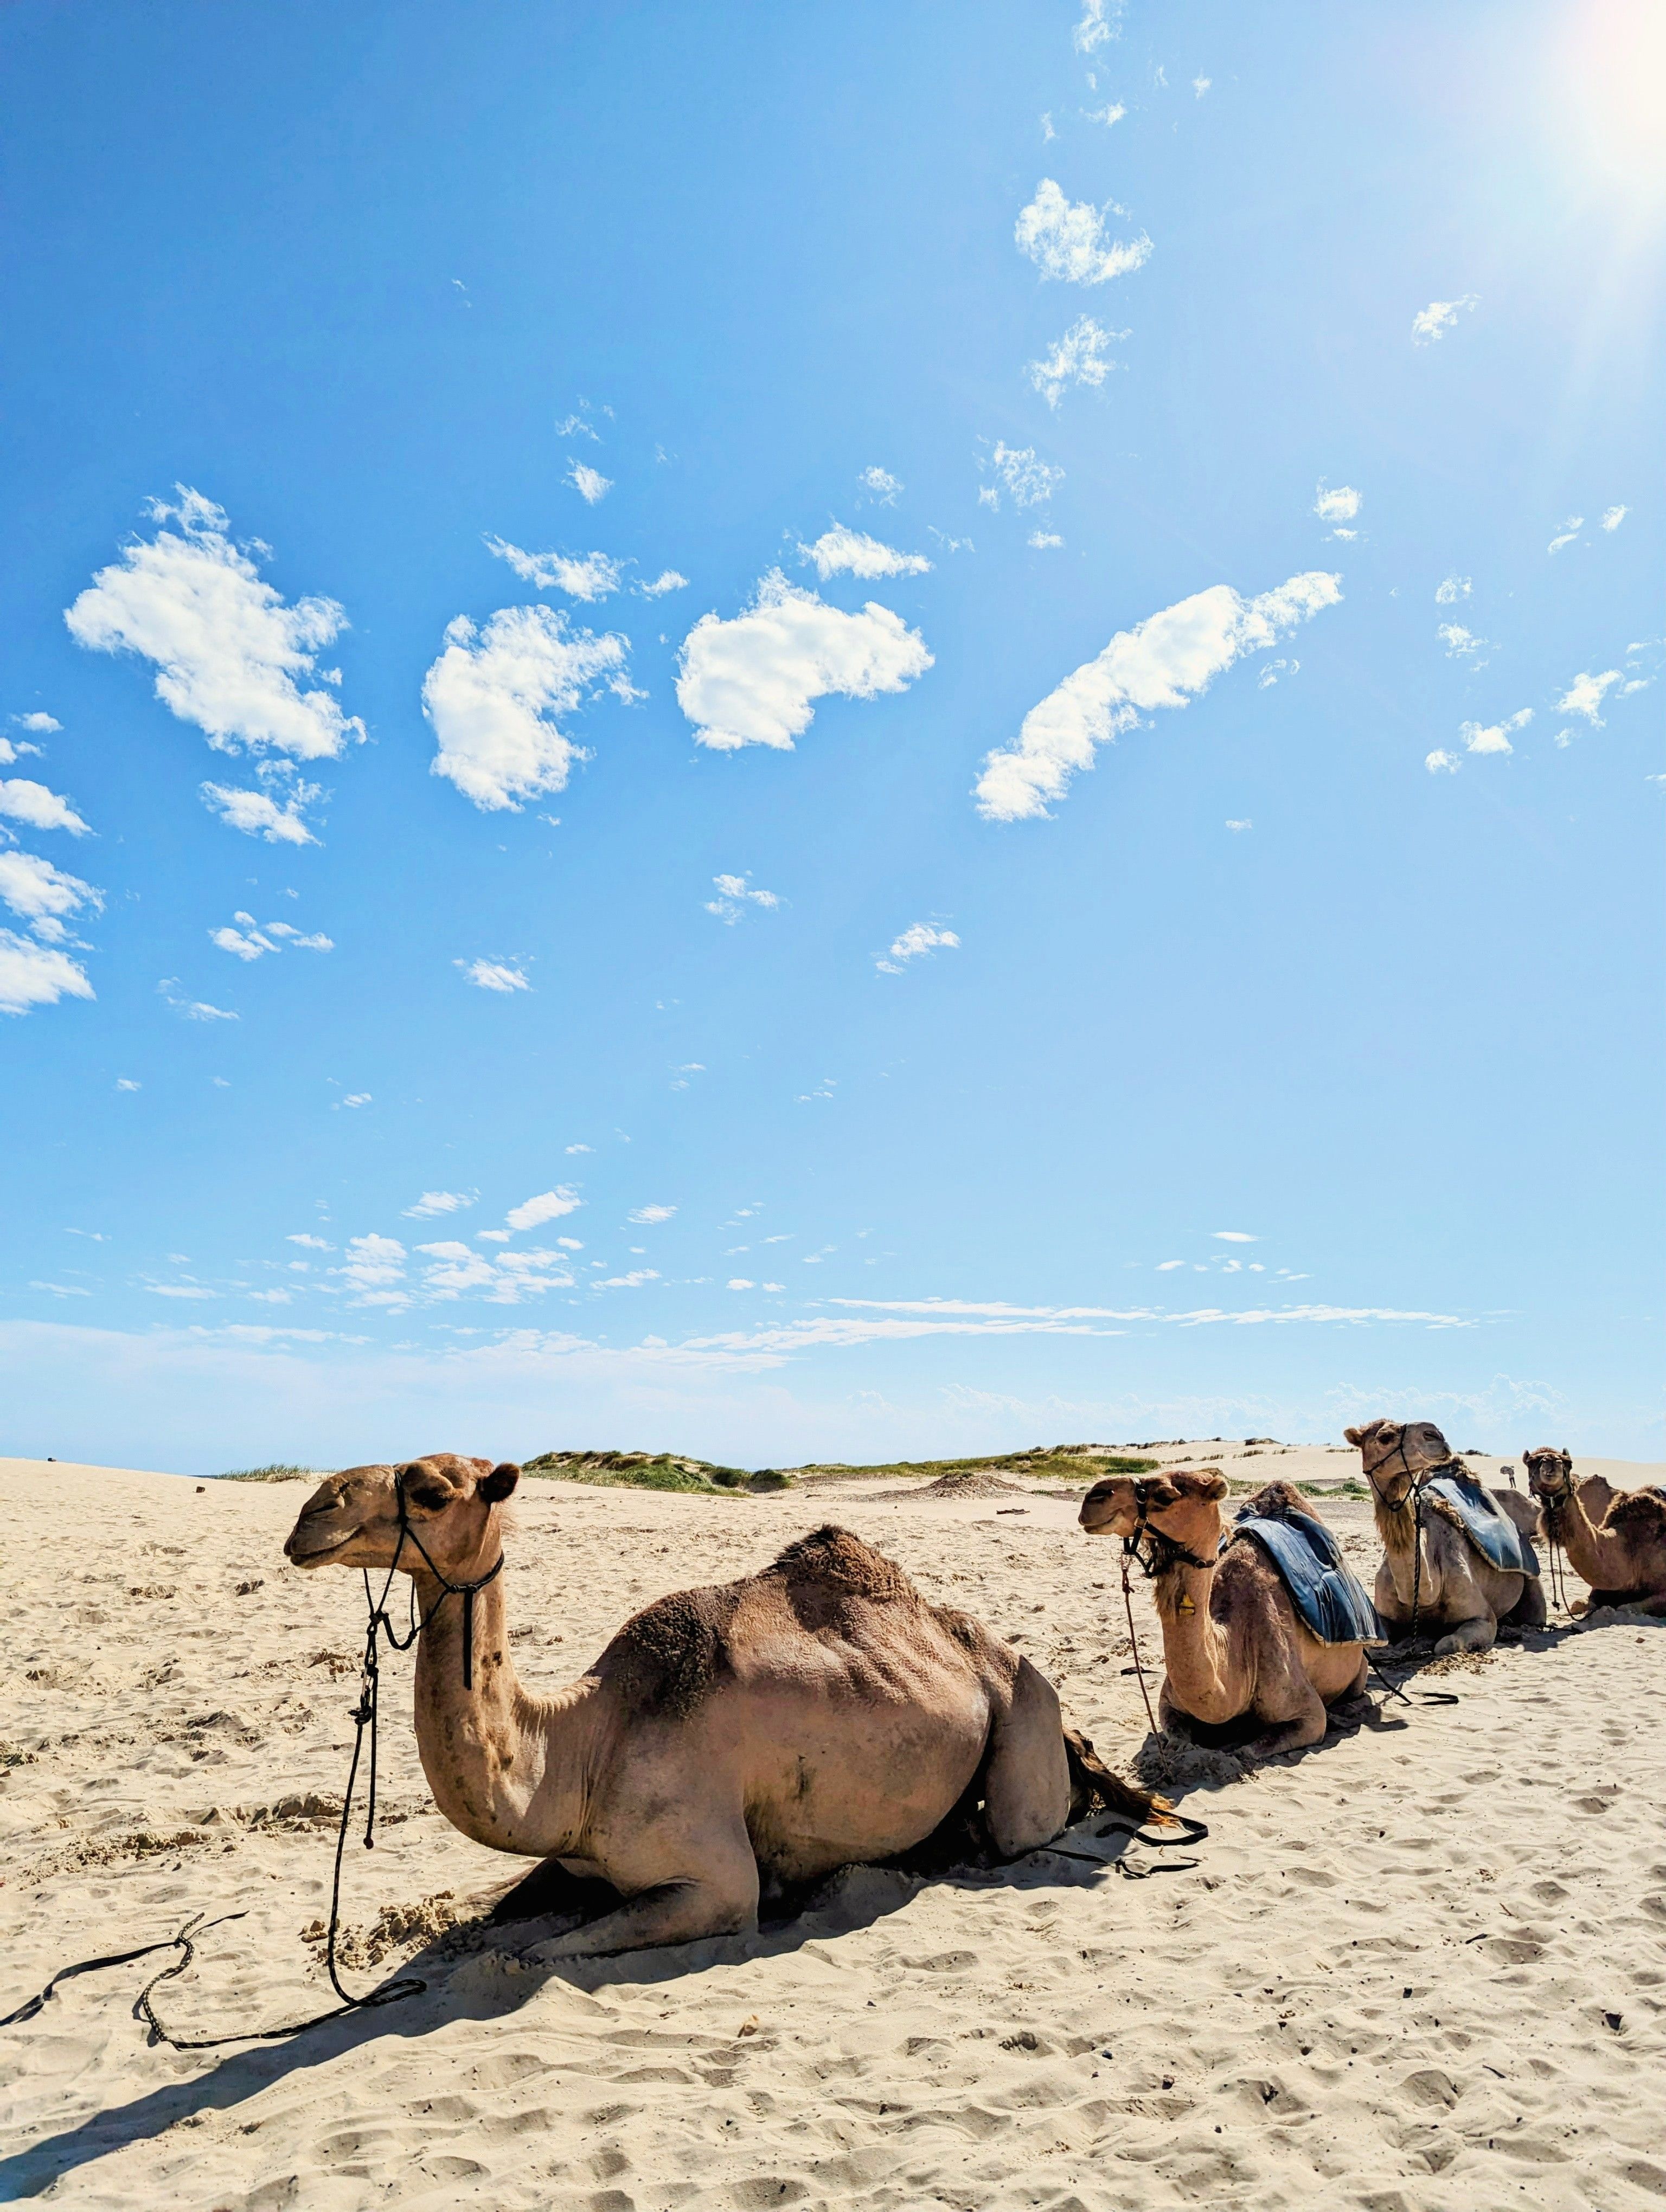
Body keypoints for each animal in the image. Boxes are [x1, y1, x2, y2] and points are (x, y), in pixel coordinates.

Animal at [282, 1454, 1160, 1958]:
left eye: (430, 1494)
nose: (310, 1514)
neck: (581, 1750)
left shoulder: (714, 1881)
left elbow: (538, 1952)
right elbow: (498, 1909)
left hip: (1023, 1712)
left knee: (1020, 1829)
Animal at [1078, 1471, 1373, 1760]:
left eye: (1165, 1496)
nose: (1094, 1496)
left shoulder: (1309, 1714)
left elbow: (1248, 1751)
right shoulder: (1168, 1703)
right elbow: (1178, 1740)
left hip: (1359, 1672)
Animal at [1344, 1418, 1545, 1654]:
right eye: (1385, 1438)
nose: (1434, 1434)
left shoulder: (1483, 1618)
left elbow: (1447, 1644)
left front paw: (1426, 1641)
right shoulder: (1383, 1614)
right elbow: (1370, 1647)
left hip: (1532, 1580)